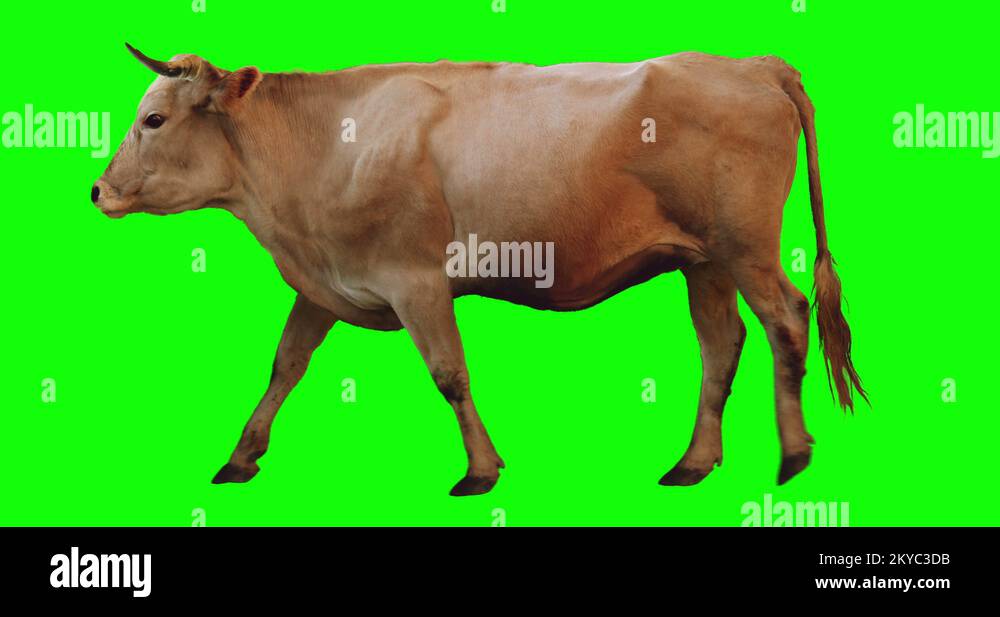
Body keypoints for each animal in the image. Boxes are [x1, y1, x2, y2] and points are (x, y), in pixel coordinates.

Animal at [92, 44, 867, 496]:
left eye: (154, 119)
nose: (97, 190)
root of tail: (749, 63)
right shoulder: (325, 282)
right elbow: (284, 366)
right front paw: (240, 457)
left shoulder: (415, 279)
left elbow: (449, 374)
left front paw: (480, 470)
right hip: (701, 258)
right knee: (721, 344)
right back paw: (693, 463)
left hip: (745, 246)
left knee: (786, 320)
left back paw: (794, 453)